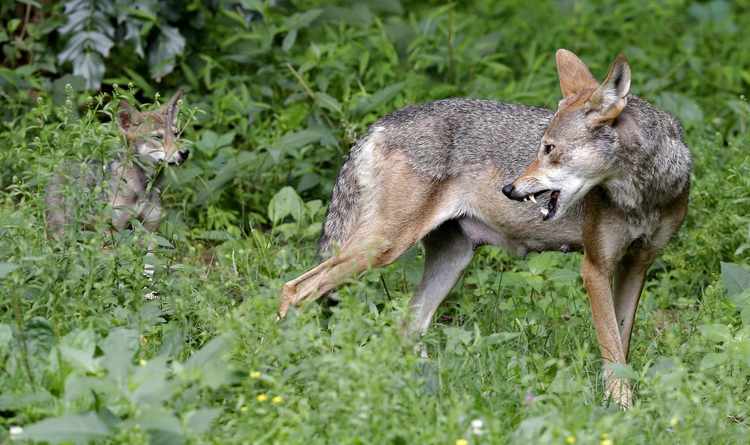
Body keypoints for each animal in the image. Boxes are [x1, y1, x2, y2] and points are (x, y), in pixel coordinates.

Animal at [45, 91, 189, 288]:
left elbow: (148, 268)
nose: (185, 153)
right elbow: (117, 269)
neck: (142, 188)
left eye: (176, 134)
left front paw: (147, 292)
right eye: (157, 137)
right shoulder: (113, 232)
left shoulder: (149, 231)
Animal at [278, 50, 692, 408]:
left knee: (406, 327)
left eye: (549, 149)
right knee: (293, 290)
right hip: (381, 249)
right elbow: (611, 348)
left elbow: (621, 344)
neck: (645, 193)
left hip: (450, 262)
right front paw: (621, 408)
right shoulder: (594, 268)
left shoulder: (637, 265)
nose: (509, 188)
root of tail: (379, 124)